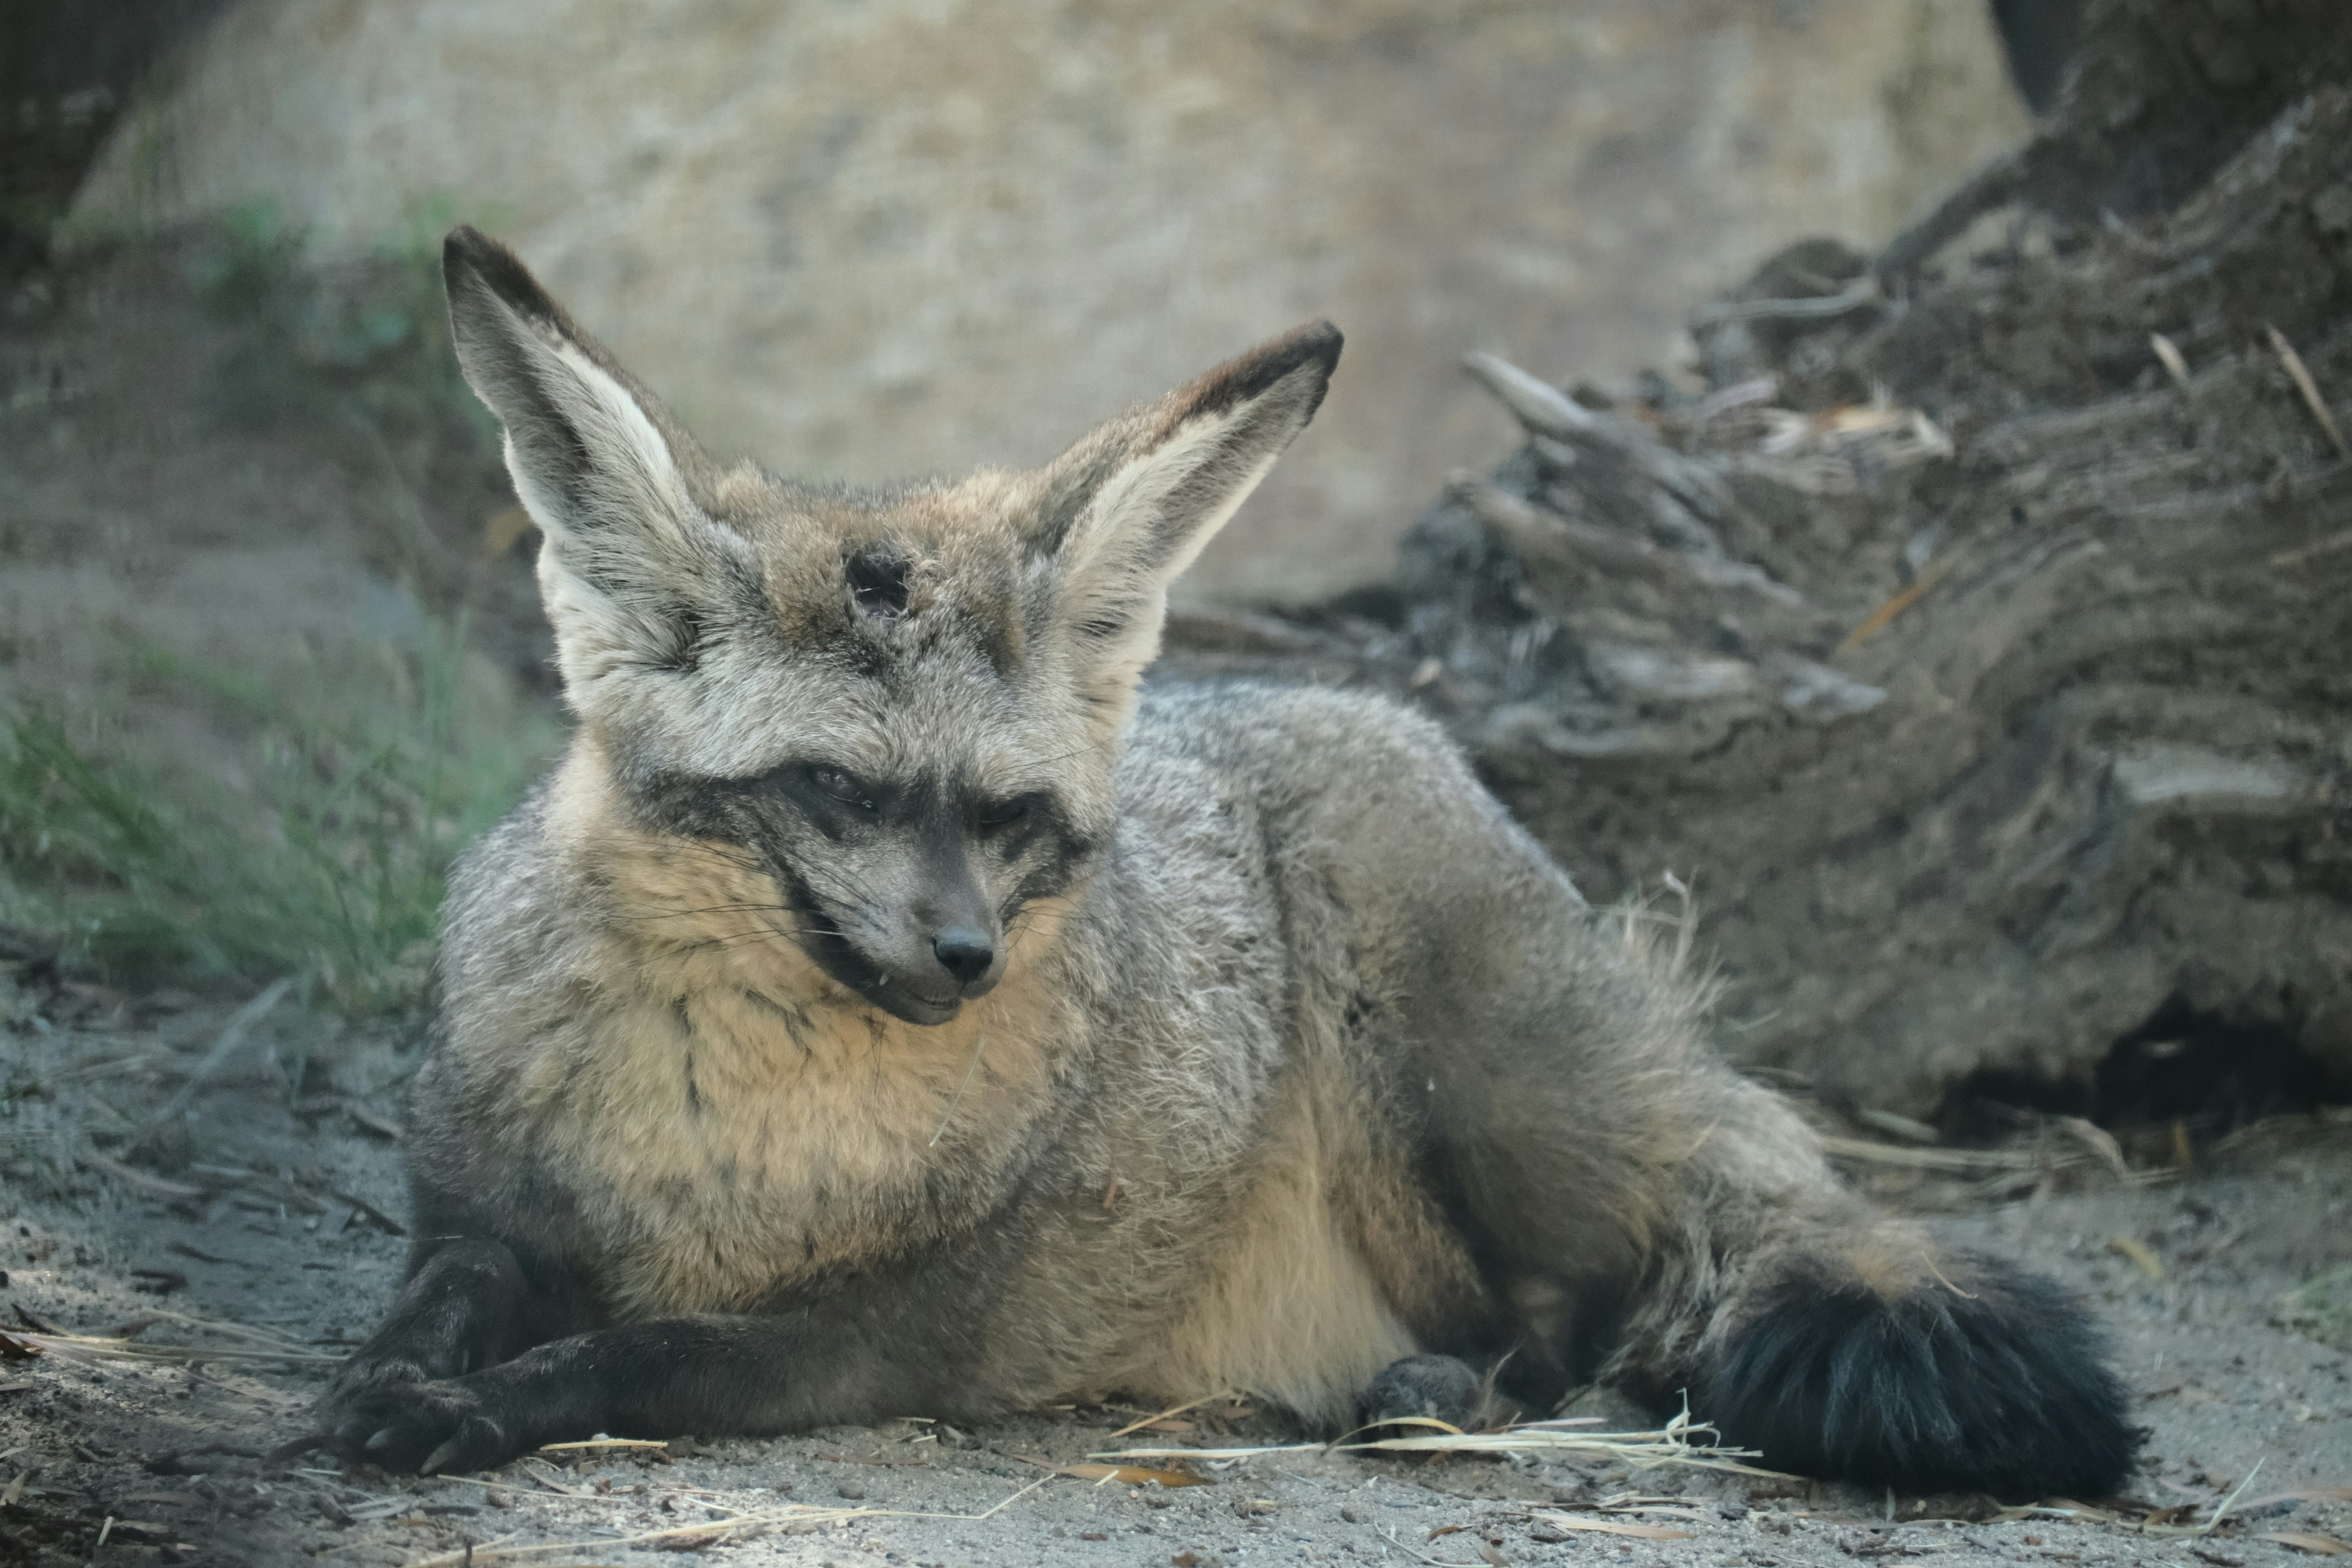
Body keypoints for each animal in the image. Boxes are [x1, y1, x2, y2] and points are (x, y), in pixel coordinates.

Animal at [313, 226, 2136, 1498]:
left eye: (1009, 820)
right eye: (833, 790)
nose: (966, 959)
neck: (729, 1132)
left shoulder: (880, 1328)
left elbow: (628, 1355)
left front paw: (486, 1402)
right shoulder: (481, 1214)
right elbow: (444, 1292)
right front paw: (395, 1372)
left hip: (1438, 1084)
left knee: (1605, 1311)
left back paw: (1453, 1393)